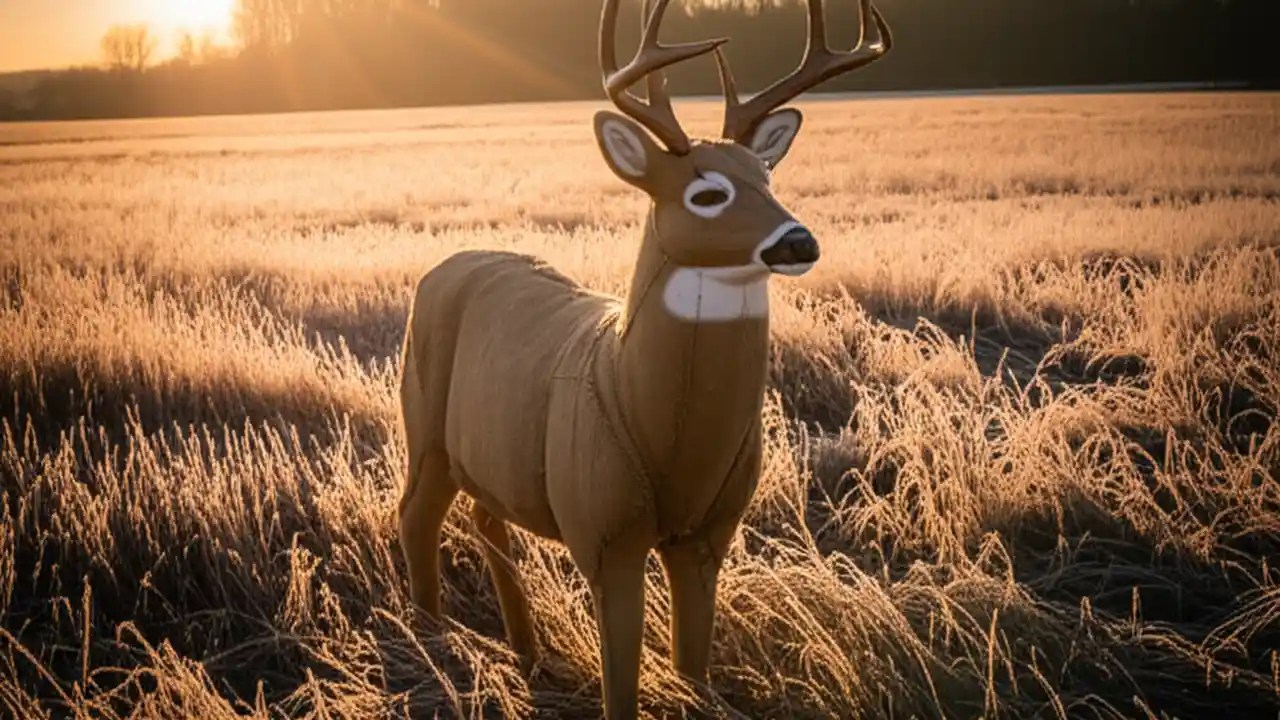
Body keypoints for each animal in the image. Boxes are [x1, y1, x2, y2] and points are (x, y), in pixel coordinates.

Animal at [396, 0, 892, 717]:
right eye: (706, 193)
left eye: (767, 177)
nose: (798, 240)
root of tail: (447, 265)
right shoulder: (606, 537)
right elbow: (621, 690)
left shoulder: (708, 538)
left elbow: (693, 666)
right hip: (423, 426)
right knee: (415, 516)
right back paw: (431, 644)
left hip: (494, 455)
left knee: (489, 520)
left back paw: (528, 654)